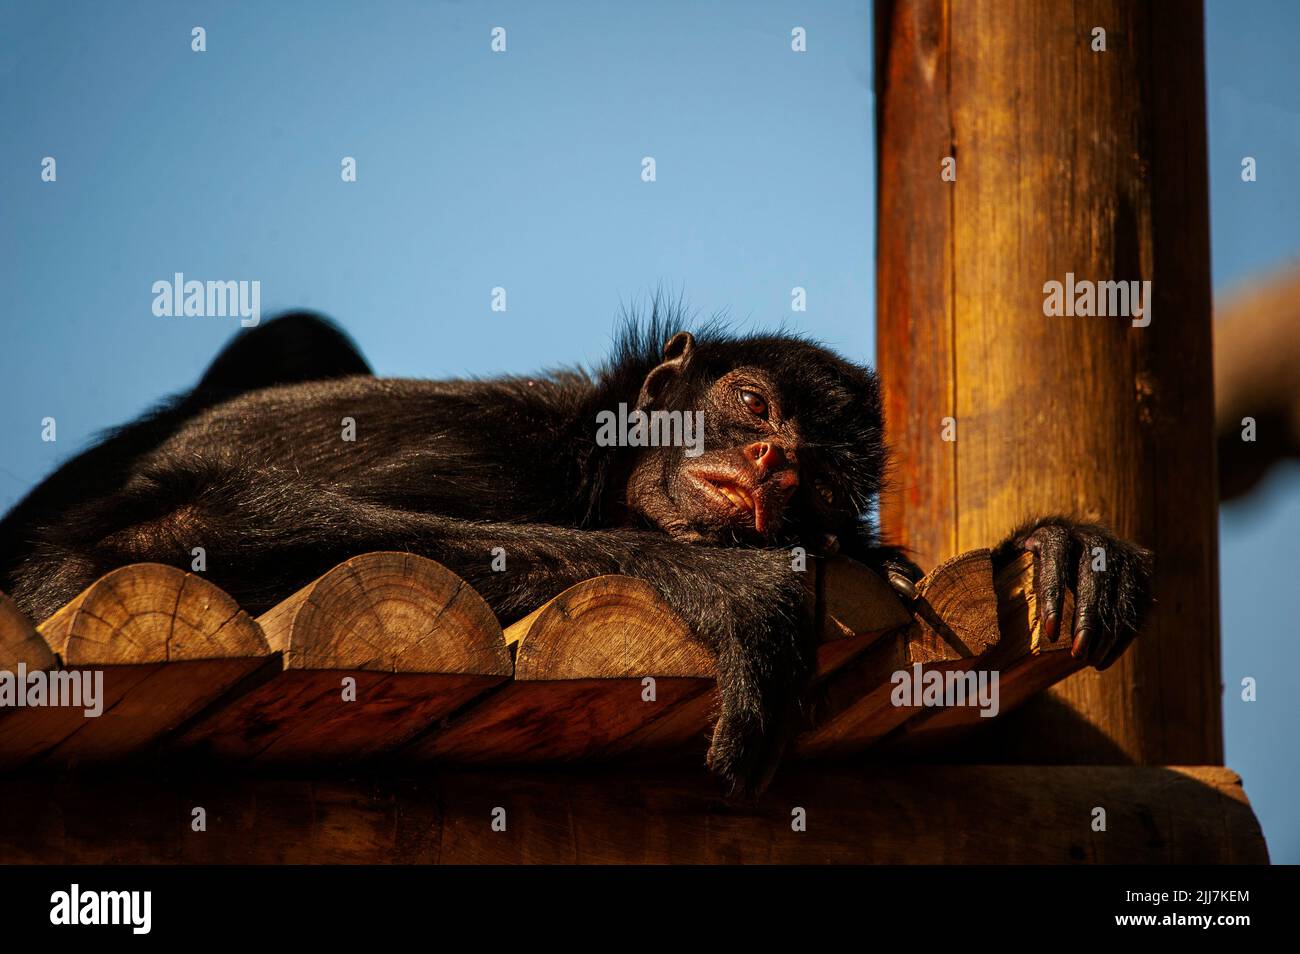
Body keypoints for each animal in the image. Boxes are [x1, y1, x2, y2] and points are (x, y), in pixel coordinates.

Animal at [0, 308, 1154, 794]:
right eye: (751, 406)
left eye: (817, 481)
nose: (772, 463)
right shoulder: (486, 453)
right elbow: (181, 527)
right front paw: (734, 590)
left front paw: (1058, 545)